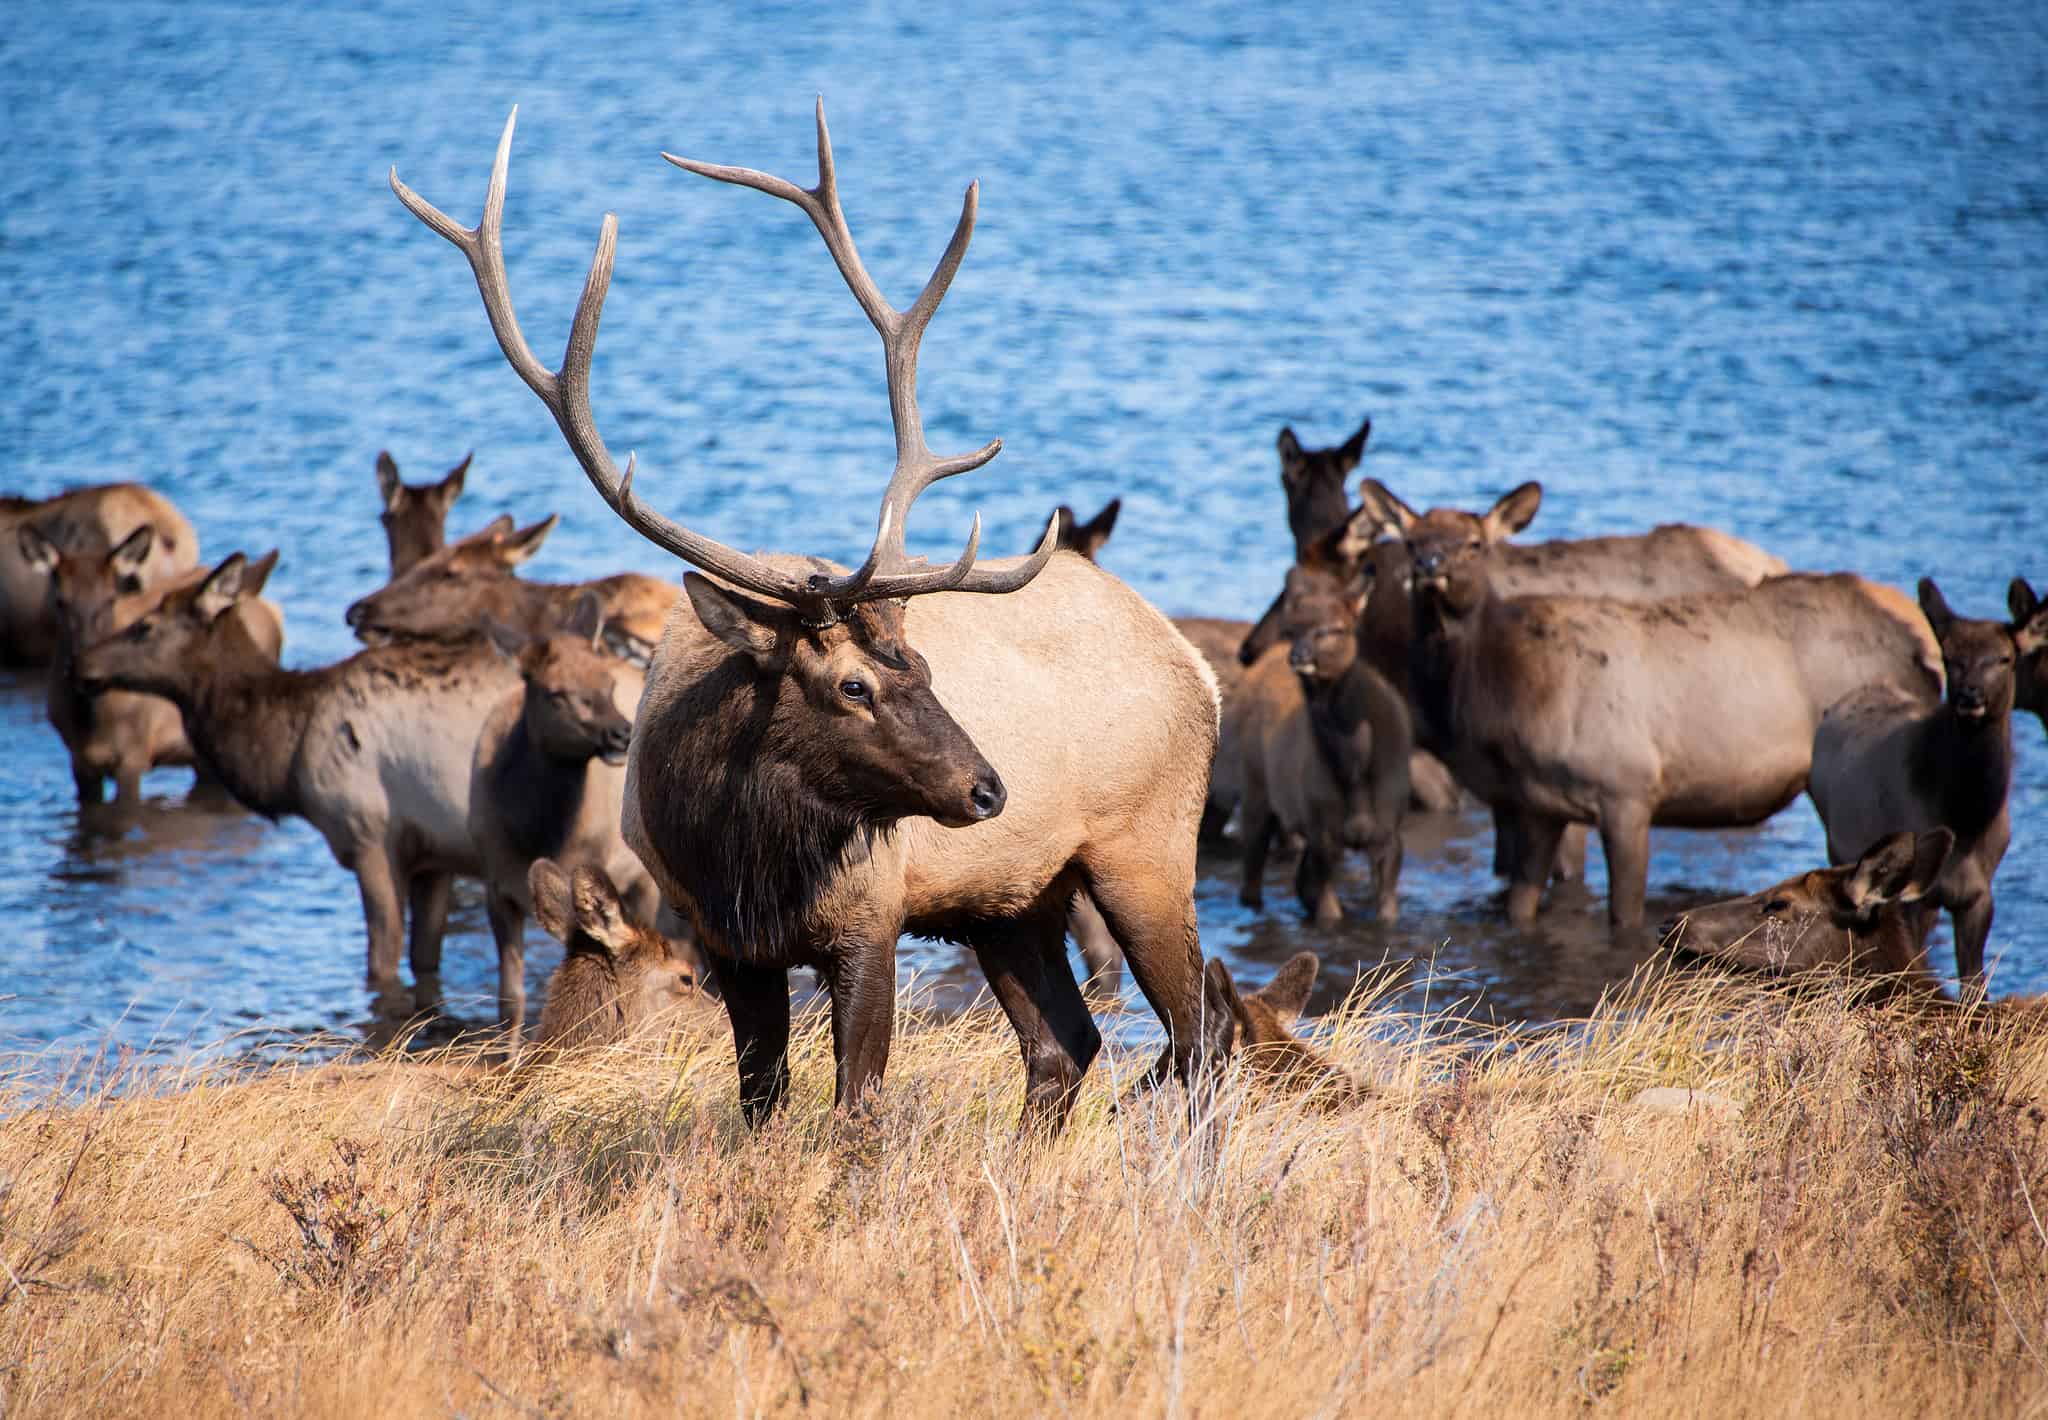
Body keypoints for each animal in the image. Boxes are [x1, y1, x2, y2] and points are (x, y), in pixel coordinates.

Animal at [21, 524, 284, 806]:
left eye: (111, 599)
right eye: (60, 601)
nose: (82, 658)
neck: (90, 721)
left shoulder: (132, 757)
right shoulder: (79, 762)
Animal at [76, 552, 523, 1020]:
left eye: (144, 626)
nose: (82, 664)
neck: (286, 752)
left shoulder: (370, 838)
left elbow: (381, 967)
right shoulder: (434, 854)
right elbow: (425, 960)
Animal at [1377, 484, 1939, 929]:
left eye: (1475, 544)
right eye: (1412, 542)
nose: (1429, 567)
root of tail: (1923, 637)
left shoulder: (1627, 792)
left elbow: (1624, 915)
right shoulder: (1538, 804)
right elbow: (1520, 909)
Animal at [1808, 580, 2019, 987]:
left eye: (2005, 658)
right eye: (1950, 658)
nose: (1970, 694)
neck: (1964, 814)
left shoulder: (1979, 895)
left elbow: (1975, 986)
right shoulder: (1915, 897)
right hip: (1838, 848)